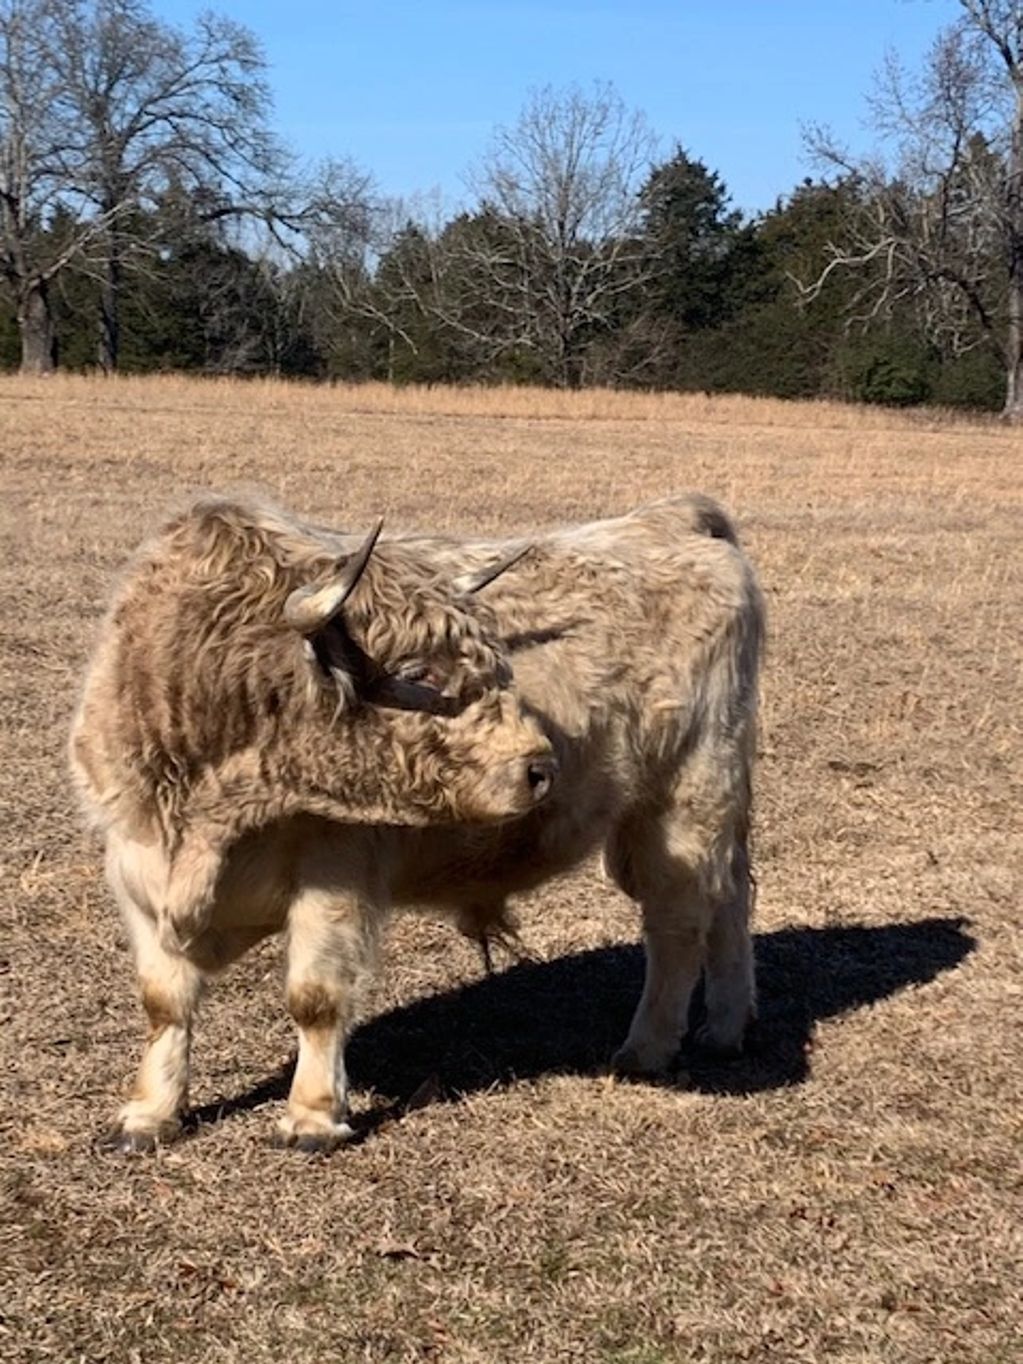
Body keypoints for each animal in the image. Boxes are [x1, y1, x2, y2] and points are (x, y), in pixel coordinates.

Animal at [71, 491, 763, 1153]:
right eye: (418, 673)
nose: (541, 767)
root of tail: (670, 517)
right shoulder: (134, 869)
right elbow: (164, 1002)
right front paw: (148, 1115)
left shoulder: (335, 875)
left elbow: (314, 997)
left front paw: (312, 1119)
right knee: (730, 898)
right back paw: (725, 1027)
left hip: (689, 796)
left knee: (678, 921)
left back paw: (648, 1048)